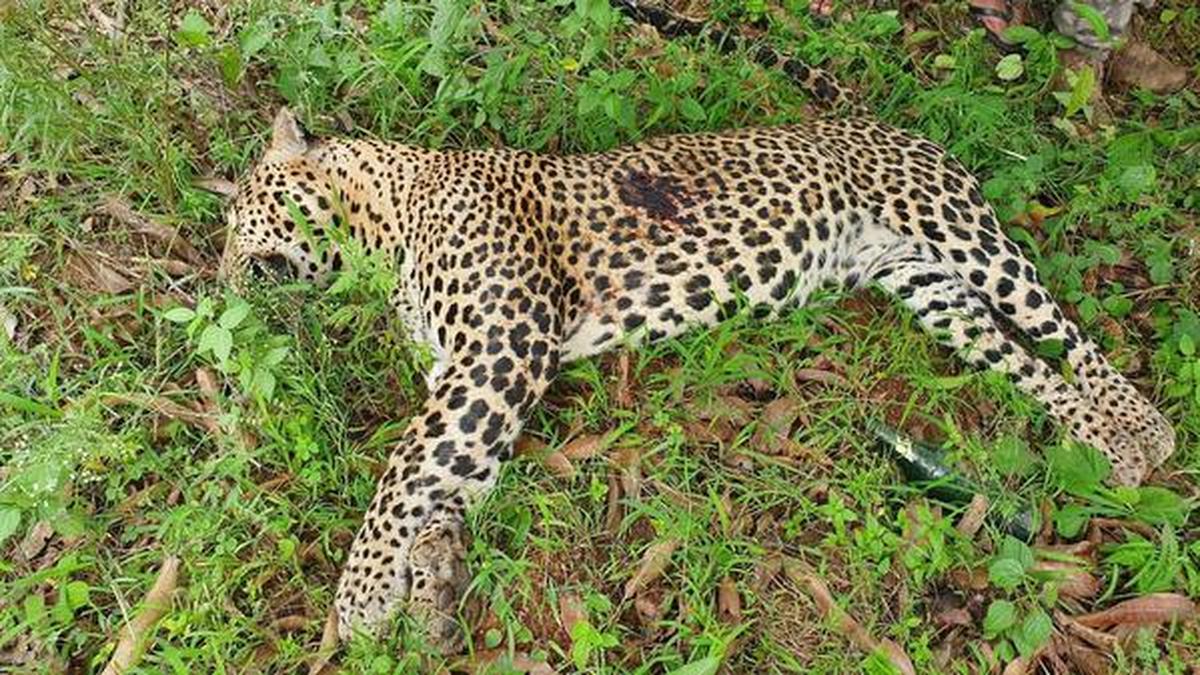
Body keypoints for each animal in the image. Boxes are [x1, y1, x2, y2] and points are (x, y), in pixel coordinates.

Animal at [216, 82, 1175, 651]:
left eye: (241, 215)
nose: (219, 276)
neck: (387, 221)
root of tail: (869, 119)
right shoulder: (471, 378)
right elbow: (440, 487)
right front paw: (428, 592)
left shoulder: (497, 355)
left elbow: (400, 473)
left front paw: (362, 598)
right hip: (925, 285)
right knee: (1024, 358)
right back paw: (1112, 445)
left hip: (955, 227)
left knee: (1061, 326)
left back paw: (1147, 431)